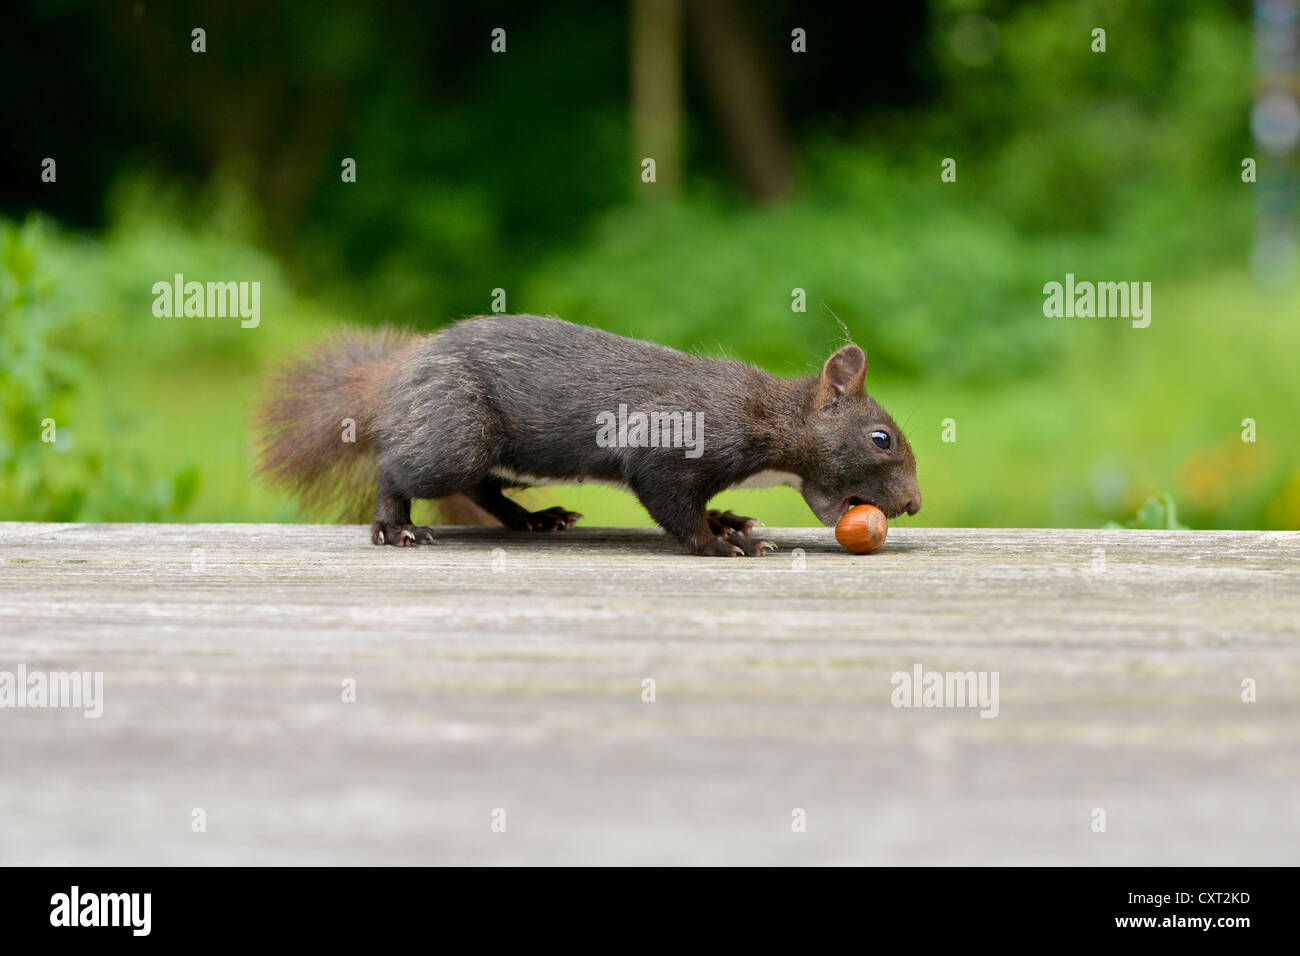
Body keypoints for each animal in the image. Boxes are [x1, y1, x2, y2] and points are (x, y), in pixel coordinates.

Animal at [253, 314, 921, 557]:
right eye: (881, 439)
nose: (914, 504)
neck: (767, 414)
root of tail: (397, 379)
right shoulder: (668, 443)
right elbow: (674, 506)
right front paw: (720, 543)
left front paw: (729, 519)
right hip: (460, 436)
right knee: (397, 467)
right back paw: (396, 527)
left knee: (486, 490)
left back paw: (534, 519)